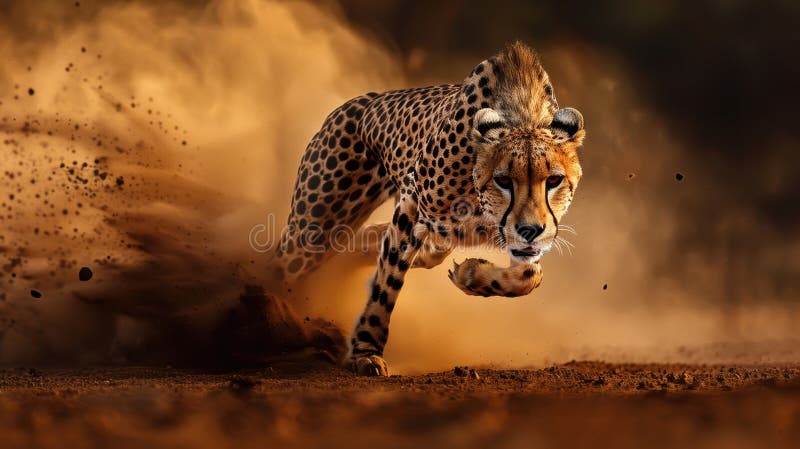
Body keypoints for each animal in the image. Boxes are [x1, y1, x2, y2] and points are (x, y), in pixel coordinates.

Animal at [272, 42, 586, 376]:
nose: (530, 229)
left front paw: (472, 275)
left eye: (554, 180)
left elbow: (529, 274)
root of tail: (357, 102)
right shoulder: (410, 203)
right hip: (315, 229)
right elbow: (386, 285)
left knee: (381, 243)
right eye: (503, 180)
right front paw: (365, 351)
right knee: (282, 266)